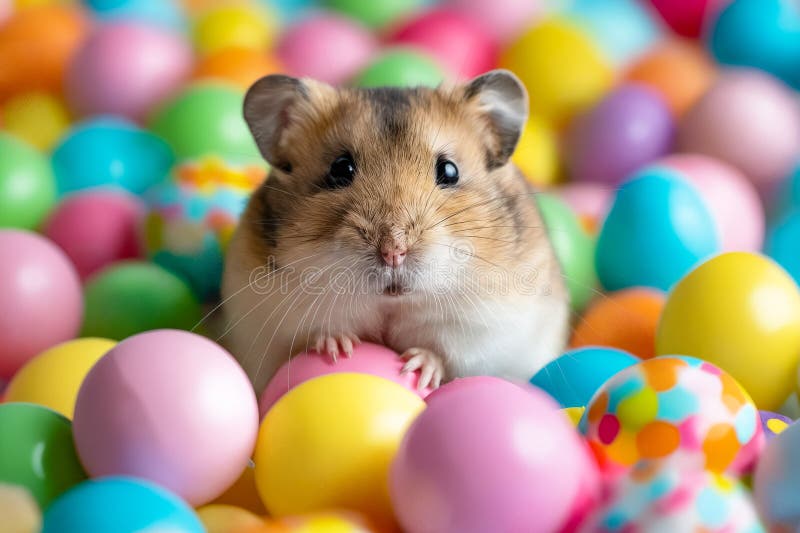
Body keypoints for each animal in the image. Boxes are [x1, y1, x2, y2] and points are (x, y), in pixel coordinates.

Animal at [222, 69, 570, 394]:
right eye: (340, 168)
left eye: (449, 170)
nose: (393, 251)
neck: (393, 304)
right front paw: (337, 347)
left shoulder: (488, 327)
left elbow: (448, 354)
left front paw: (418, 366)